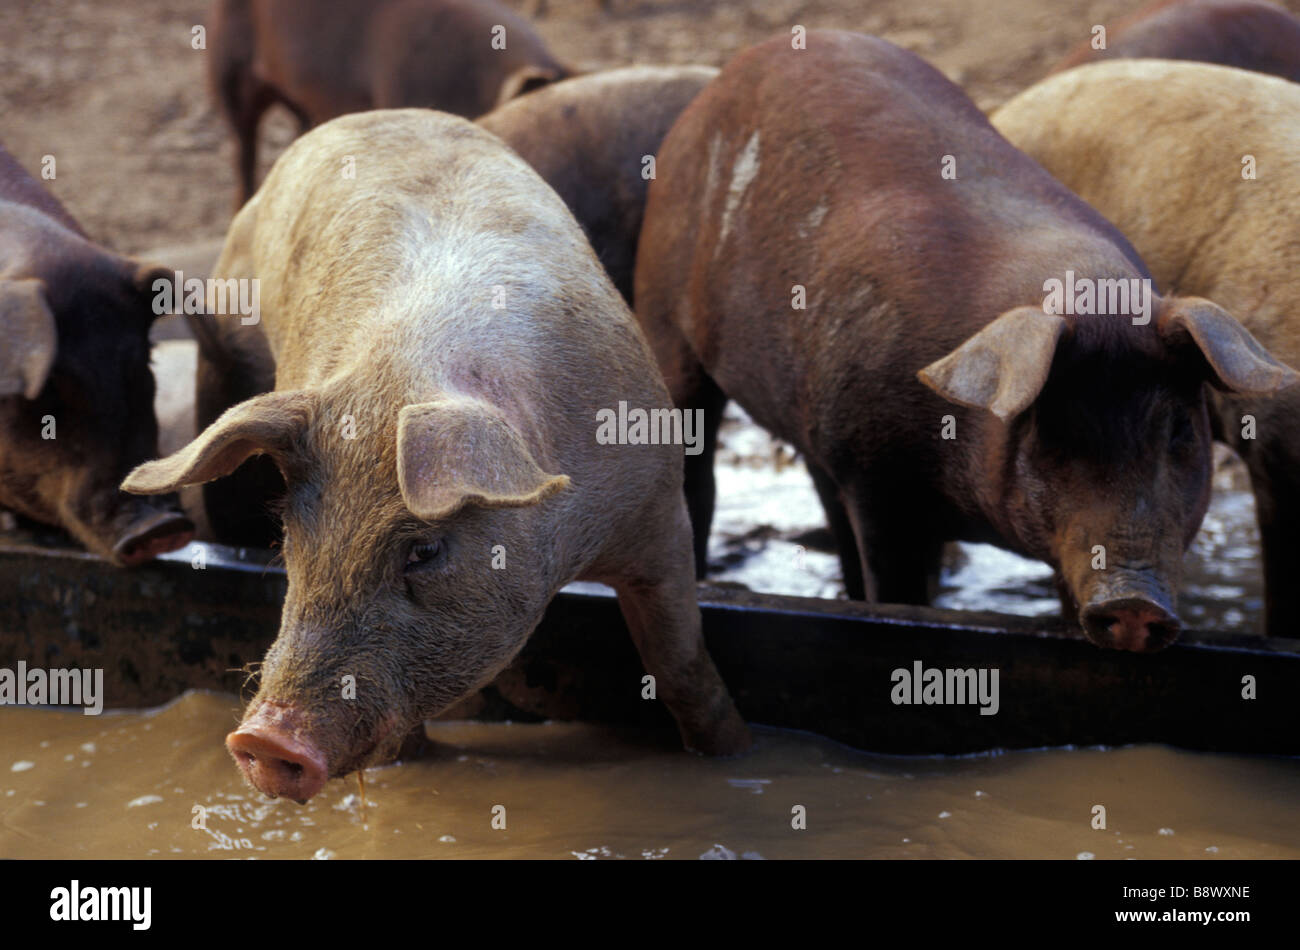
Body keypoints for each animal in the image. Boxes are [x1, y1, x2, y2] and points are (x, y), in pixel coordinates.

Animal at [122, 109, 751, 802]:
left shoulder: (659, 509)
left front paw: (732, 757)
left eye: (423, 550)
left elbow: (682, 667)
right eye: (291, 533)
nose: (263, 740)